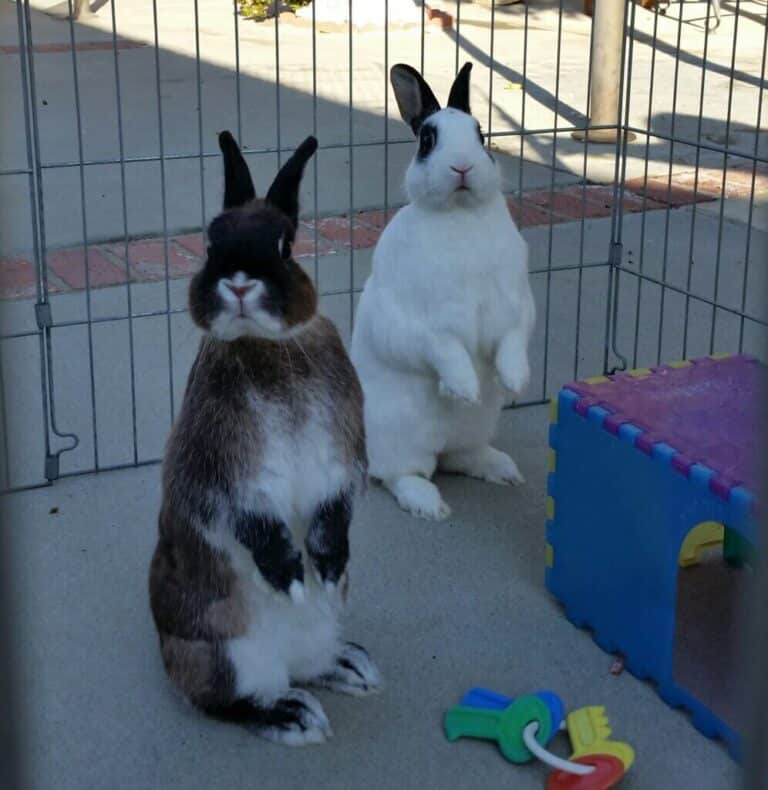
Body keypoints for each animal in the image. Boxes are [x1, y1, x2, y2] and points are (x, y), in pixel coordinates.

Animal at [149, 131, 380, 746]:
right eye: (209, 244)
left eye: (286, 245)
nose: (238, 282)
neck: (266, 347)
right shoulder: (220, 475)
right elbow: (250, 522)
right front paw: (291, 577)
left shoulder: (341, 463)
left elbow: (331, 519)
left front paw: (328, 573)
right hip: (225, 652)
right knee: (230, 700)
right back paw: (292, 714)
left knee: (308, 665)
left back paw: (350, 667)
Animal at [350, 62, 535, 521]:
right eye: (427, 140)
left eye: (481, 134)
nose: (462, 167)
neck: (461, 214)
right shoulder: (418, 323)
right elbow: (444, 348)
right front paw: (464, 388)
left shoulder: (516, 307)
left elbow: (512, 342)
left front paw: (516, 381)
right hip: (398, 437)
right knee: (402, 474)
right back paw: (429, 505)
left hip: (479, 426)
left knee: (460, 457)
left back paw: (502, 468)